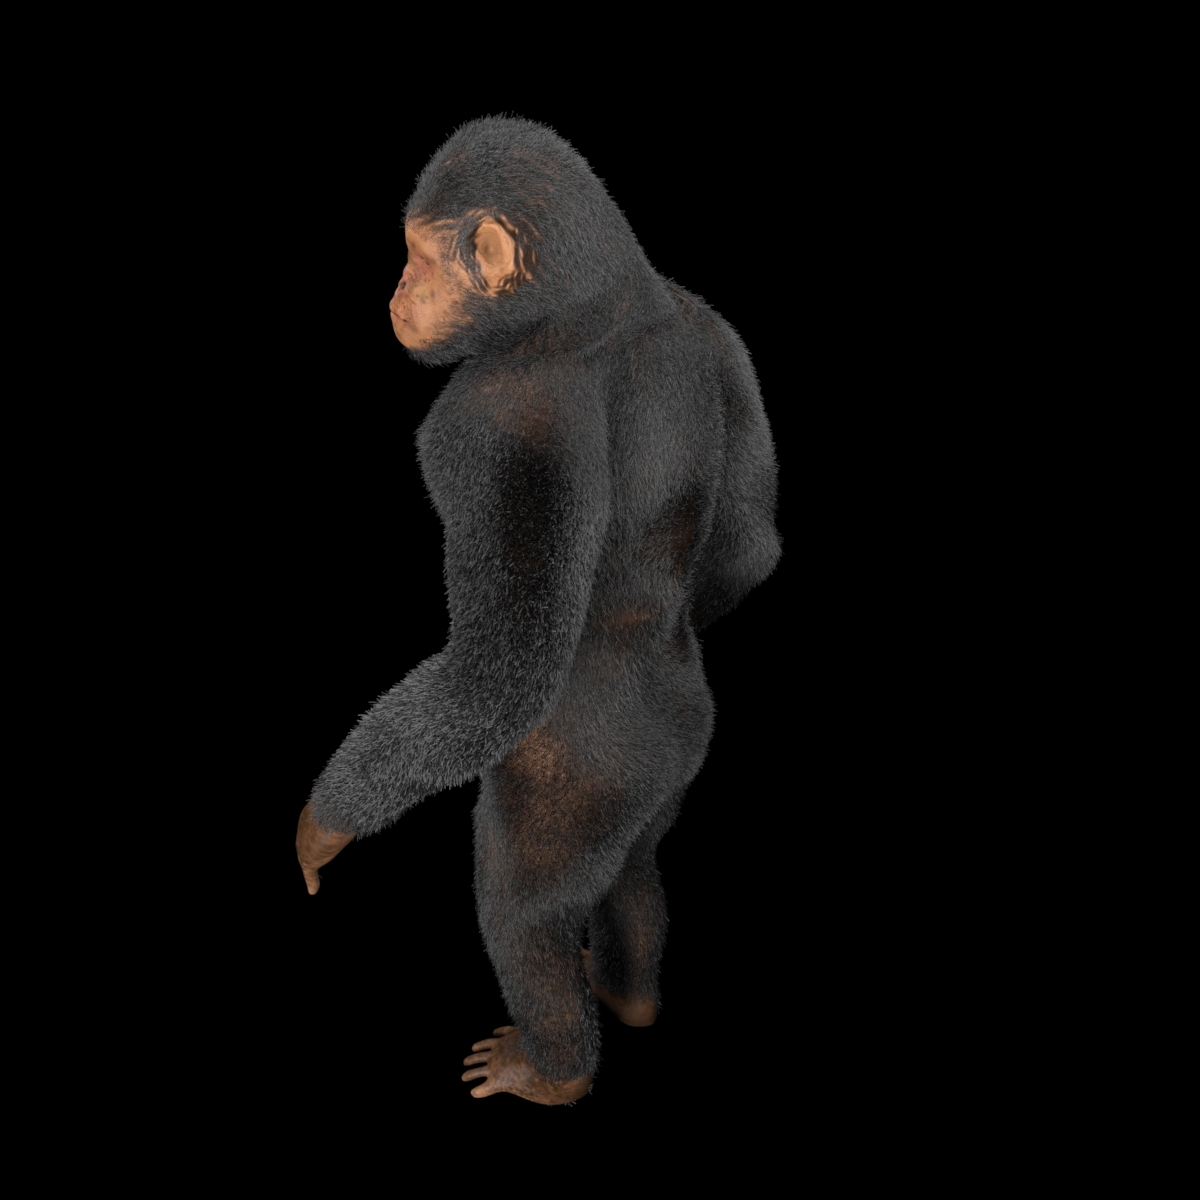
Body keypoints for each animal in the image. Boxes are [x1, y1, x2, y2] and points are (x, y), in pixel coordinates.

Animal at [295, 117, 781, 1106]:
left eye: (417, 257)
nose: (396, 289)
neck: (606, 305)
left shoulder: (501, 416)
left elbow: (501, 670)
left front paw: (326, 827)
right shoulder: (725, 336)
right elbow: (752, 546)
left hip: (580, 777)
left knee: (522, 903)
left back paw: (553, 1070)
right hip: (672, 770)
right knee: (637, 865)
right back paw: (629, 997)